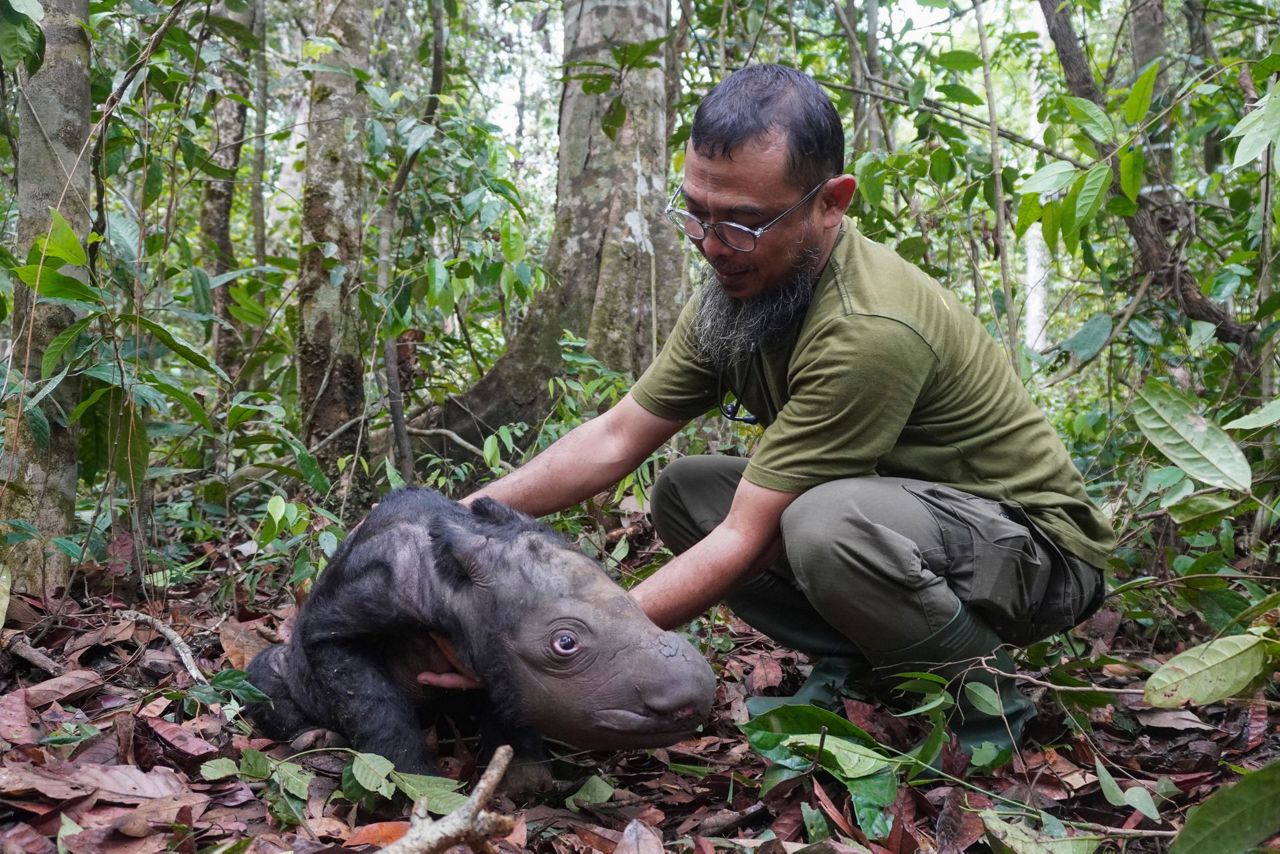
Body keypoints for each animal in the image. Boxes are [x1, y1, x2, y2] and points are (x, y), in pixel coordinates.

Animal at [245, 488, 716, 791]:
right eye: (565, 644)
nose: (694, 697)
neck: (449, 585)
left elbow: (509, 702)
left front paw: (525, 781)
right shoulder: (338, 623)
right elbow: (370, 700)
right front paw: (417, 784)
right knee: (263, 676)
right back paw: (313, 740)